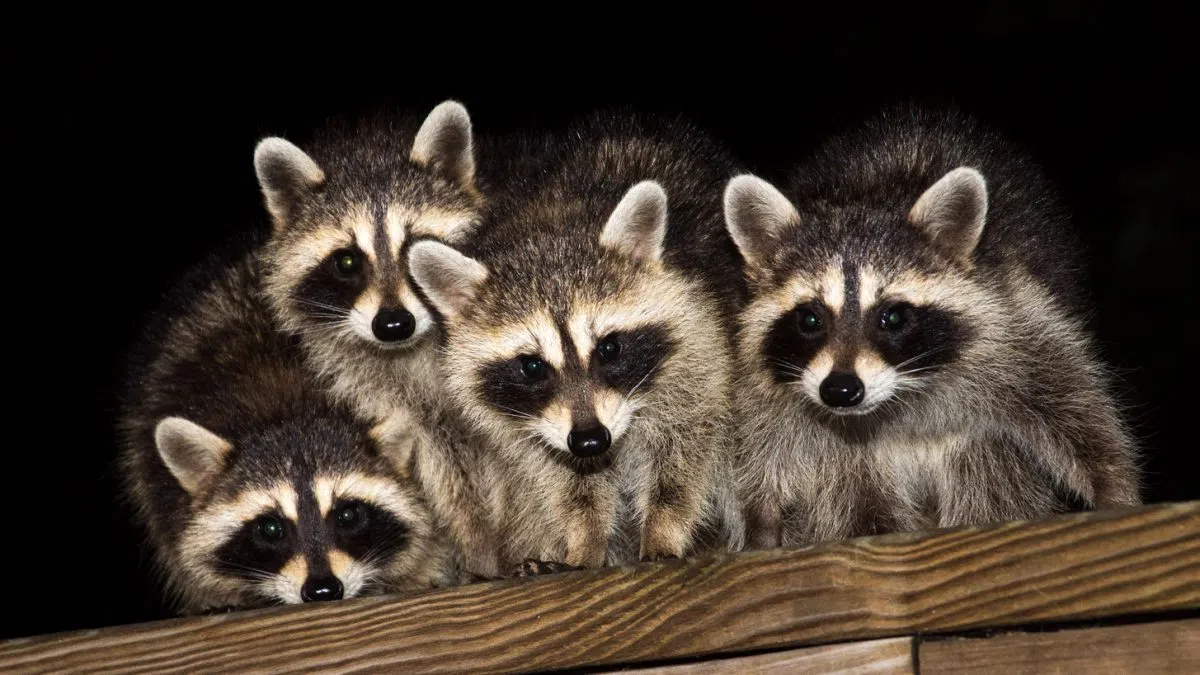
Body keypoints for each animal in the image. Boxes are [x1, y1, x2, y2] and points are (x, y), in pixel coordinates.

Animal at [252, 101, 546, 578]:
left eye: (416, 249)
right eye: (347, 261)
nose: (393, 324)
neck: (410, 350)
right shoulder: (394, 395)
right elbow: (445, 473)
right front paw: (479, 551)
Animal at [407, 113, 747, 571]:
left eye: (609, 348)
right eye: (532, 366)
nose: (591, 440)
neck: (551, 224)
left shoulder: (698, 336)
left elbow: (685, 445)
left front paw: (663, 528)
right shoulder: (527, 427)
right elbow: (565, 480)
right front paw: (585, 543)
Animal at [723, 105, 1141, 548]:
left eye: (892, 317)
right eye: (810, 318)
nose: (841, 390)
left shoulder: (1012, 314)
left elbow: (1070, 396)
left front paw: (1113, 486)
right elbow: (767, 443)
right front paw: (761, 518)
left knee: (986, 474)